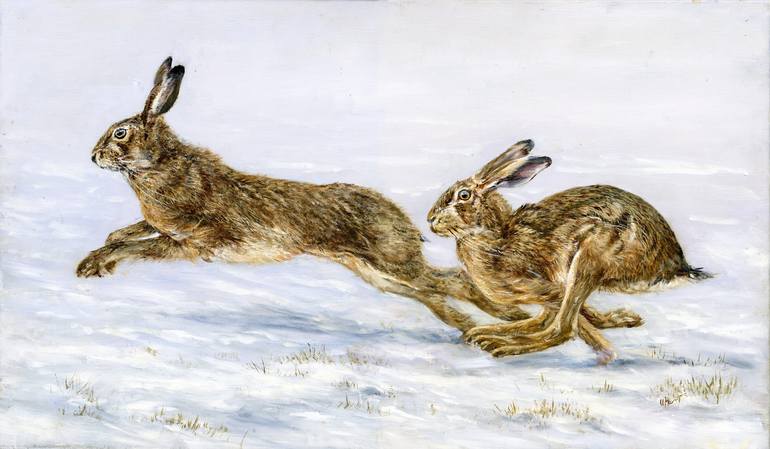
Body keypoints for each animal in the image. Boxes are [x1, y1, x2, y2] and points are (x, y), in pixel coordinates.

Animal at [427, 139, 711, 363]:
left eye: (463, 195)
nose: (430, 219)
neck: (494, 236)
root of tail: (675, 266)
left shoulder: (549, 287)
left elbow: (568, 324)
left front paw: (606, 350)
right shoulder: (549, 291)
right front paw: (618, 321)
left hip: (590, 255)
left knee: (562, 328)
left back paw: (501, 346)